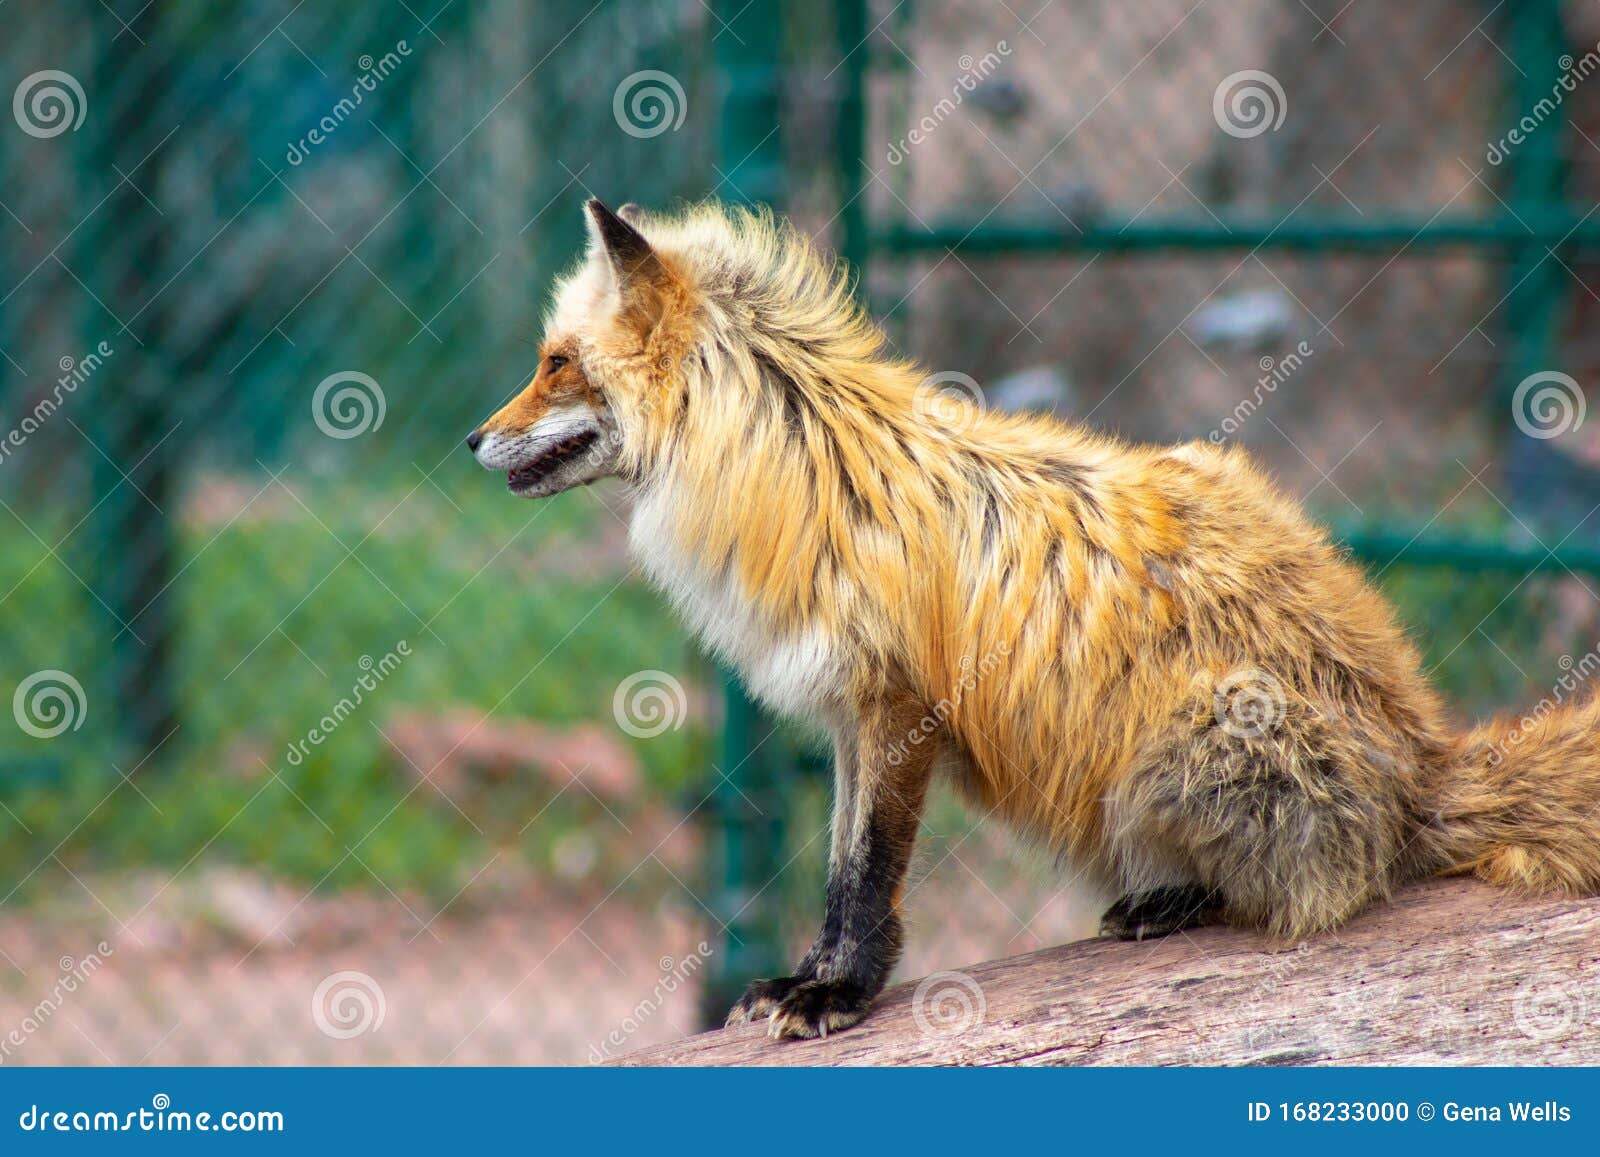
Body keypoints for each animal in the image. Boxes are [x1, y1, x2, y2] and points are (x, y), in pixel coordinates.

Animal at [468, 197, 1600, 1041]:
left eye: (555, 362)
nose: (472, 439)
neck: (799, 459)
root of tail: (1425, 758)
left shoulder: (896, 707)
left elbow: (866, 875)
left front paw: (842, 991)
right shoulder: (849, 717)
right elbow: (837, 870)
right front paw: (813, 977)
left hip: (1201, 732)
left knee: (1333, 883)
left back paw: (1182, 899)